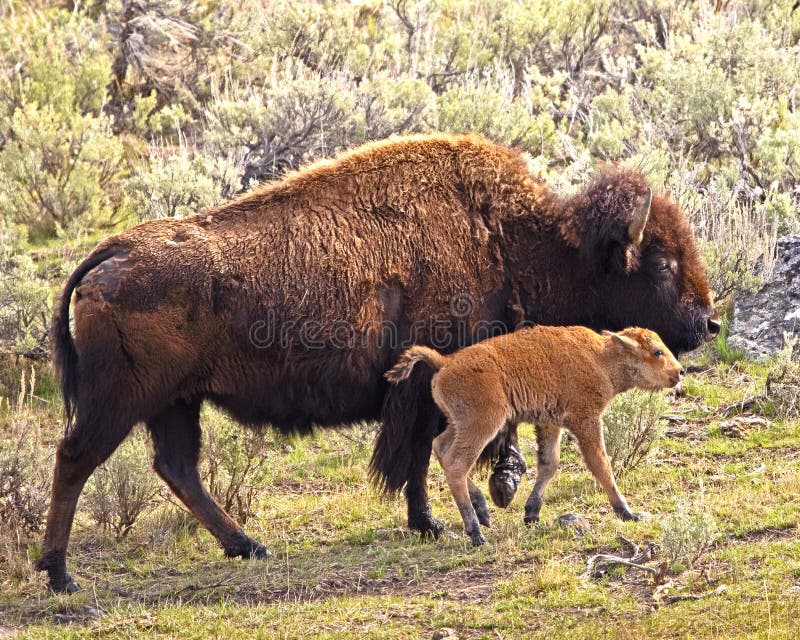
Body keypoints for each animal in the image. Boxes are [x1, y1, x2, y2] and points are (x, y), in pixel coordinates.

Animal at [36, 134, 718, 593]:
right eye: (660, 261)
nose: (709, 323)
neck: (513, 238)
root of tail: (110, 254)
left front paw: (480, 499)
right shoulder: (420, 388)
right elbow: (419, 455)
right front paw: (441, 520)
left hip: (176, 403)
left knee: (177, 468)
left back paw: (249, 547)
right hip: (122, 402)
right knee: (75, 459)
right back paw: (61, 575)